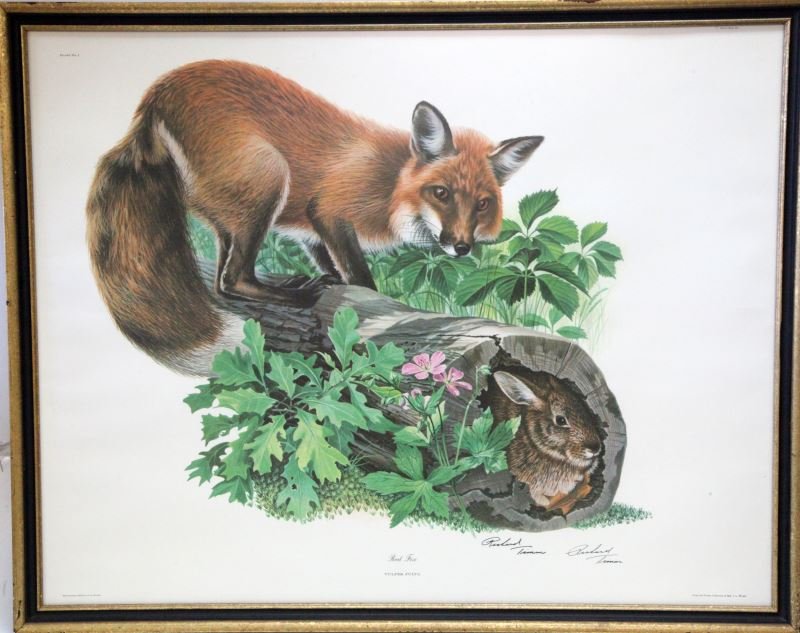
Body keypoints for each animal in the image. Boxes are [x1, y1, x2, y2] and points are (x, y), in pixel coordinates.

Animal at [87, 60, 544, 375]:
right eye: (442, 193)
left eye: (482, 203)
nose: (461, 246)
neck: (390, 181)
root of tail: (153, 98)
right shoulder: (330, 210)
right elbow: (361, 277)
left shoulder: (311, 228)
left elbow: (332, 265)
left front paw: (330, 280)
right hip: (267, 178)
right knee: (232, 279)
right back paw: (292, 295)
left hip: (232, 210)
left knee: (220, 276)